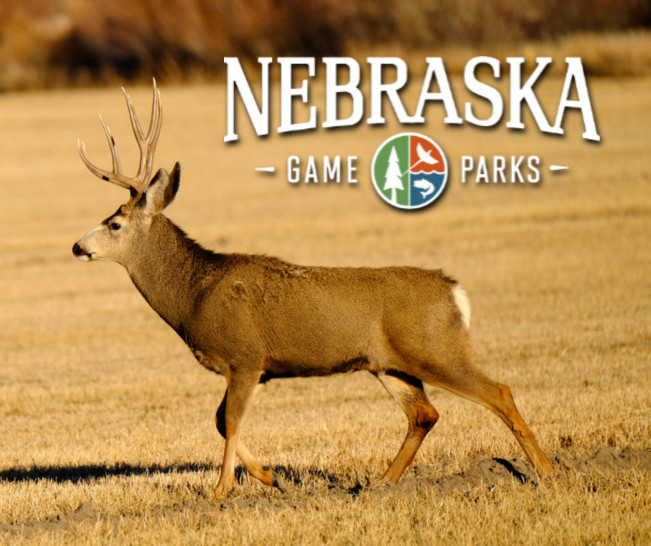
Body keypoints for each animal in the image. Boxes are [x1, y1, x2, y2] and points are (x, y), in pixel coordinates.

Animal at [72, 80, 555, 496]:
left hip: (436, 348)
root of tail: (455, 292)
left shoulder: (245, 356)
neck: (194, 295)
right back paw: (382, 483)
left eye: (114, 224)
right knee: (425, 413)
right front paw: (270, 478)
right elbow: (221, 420)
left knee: (498, 392)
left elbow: (229, 421)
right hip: (389, 364)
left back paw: (547, 471)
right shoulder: (254, 367)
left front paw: (221, 490)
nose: (78, 246)